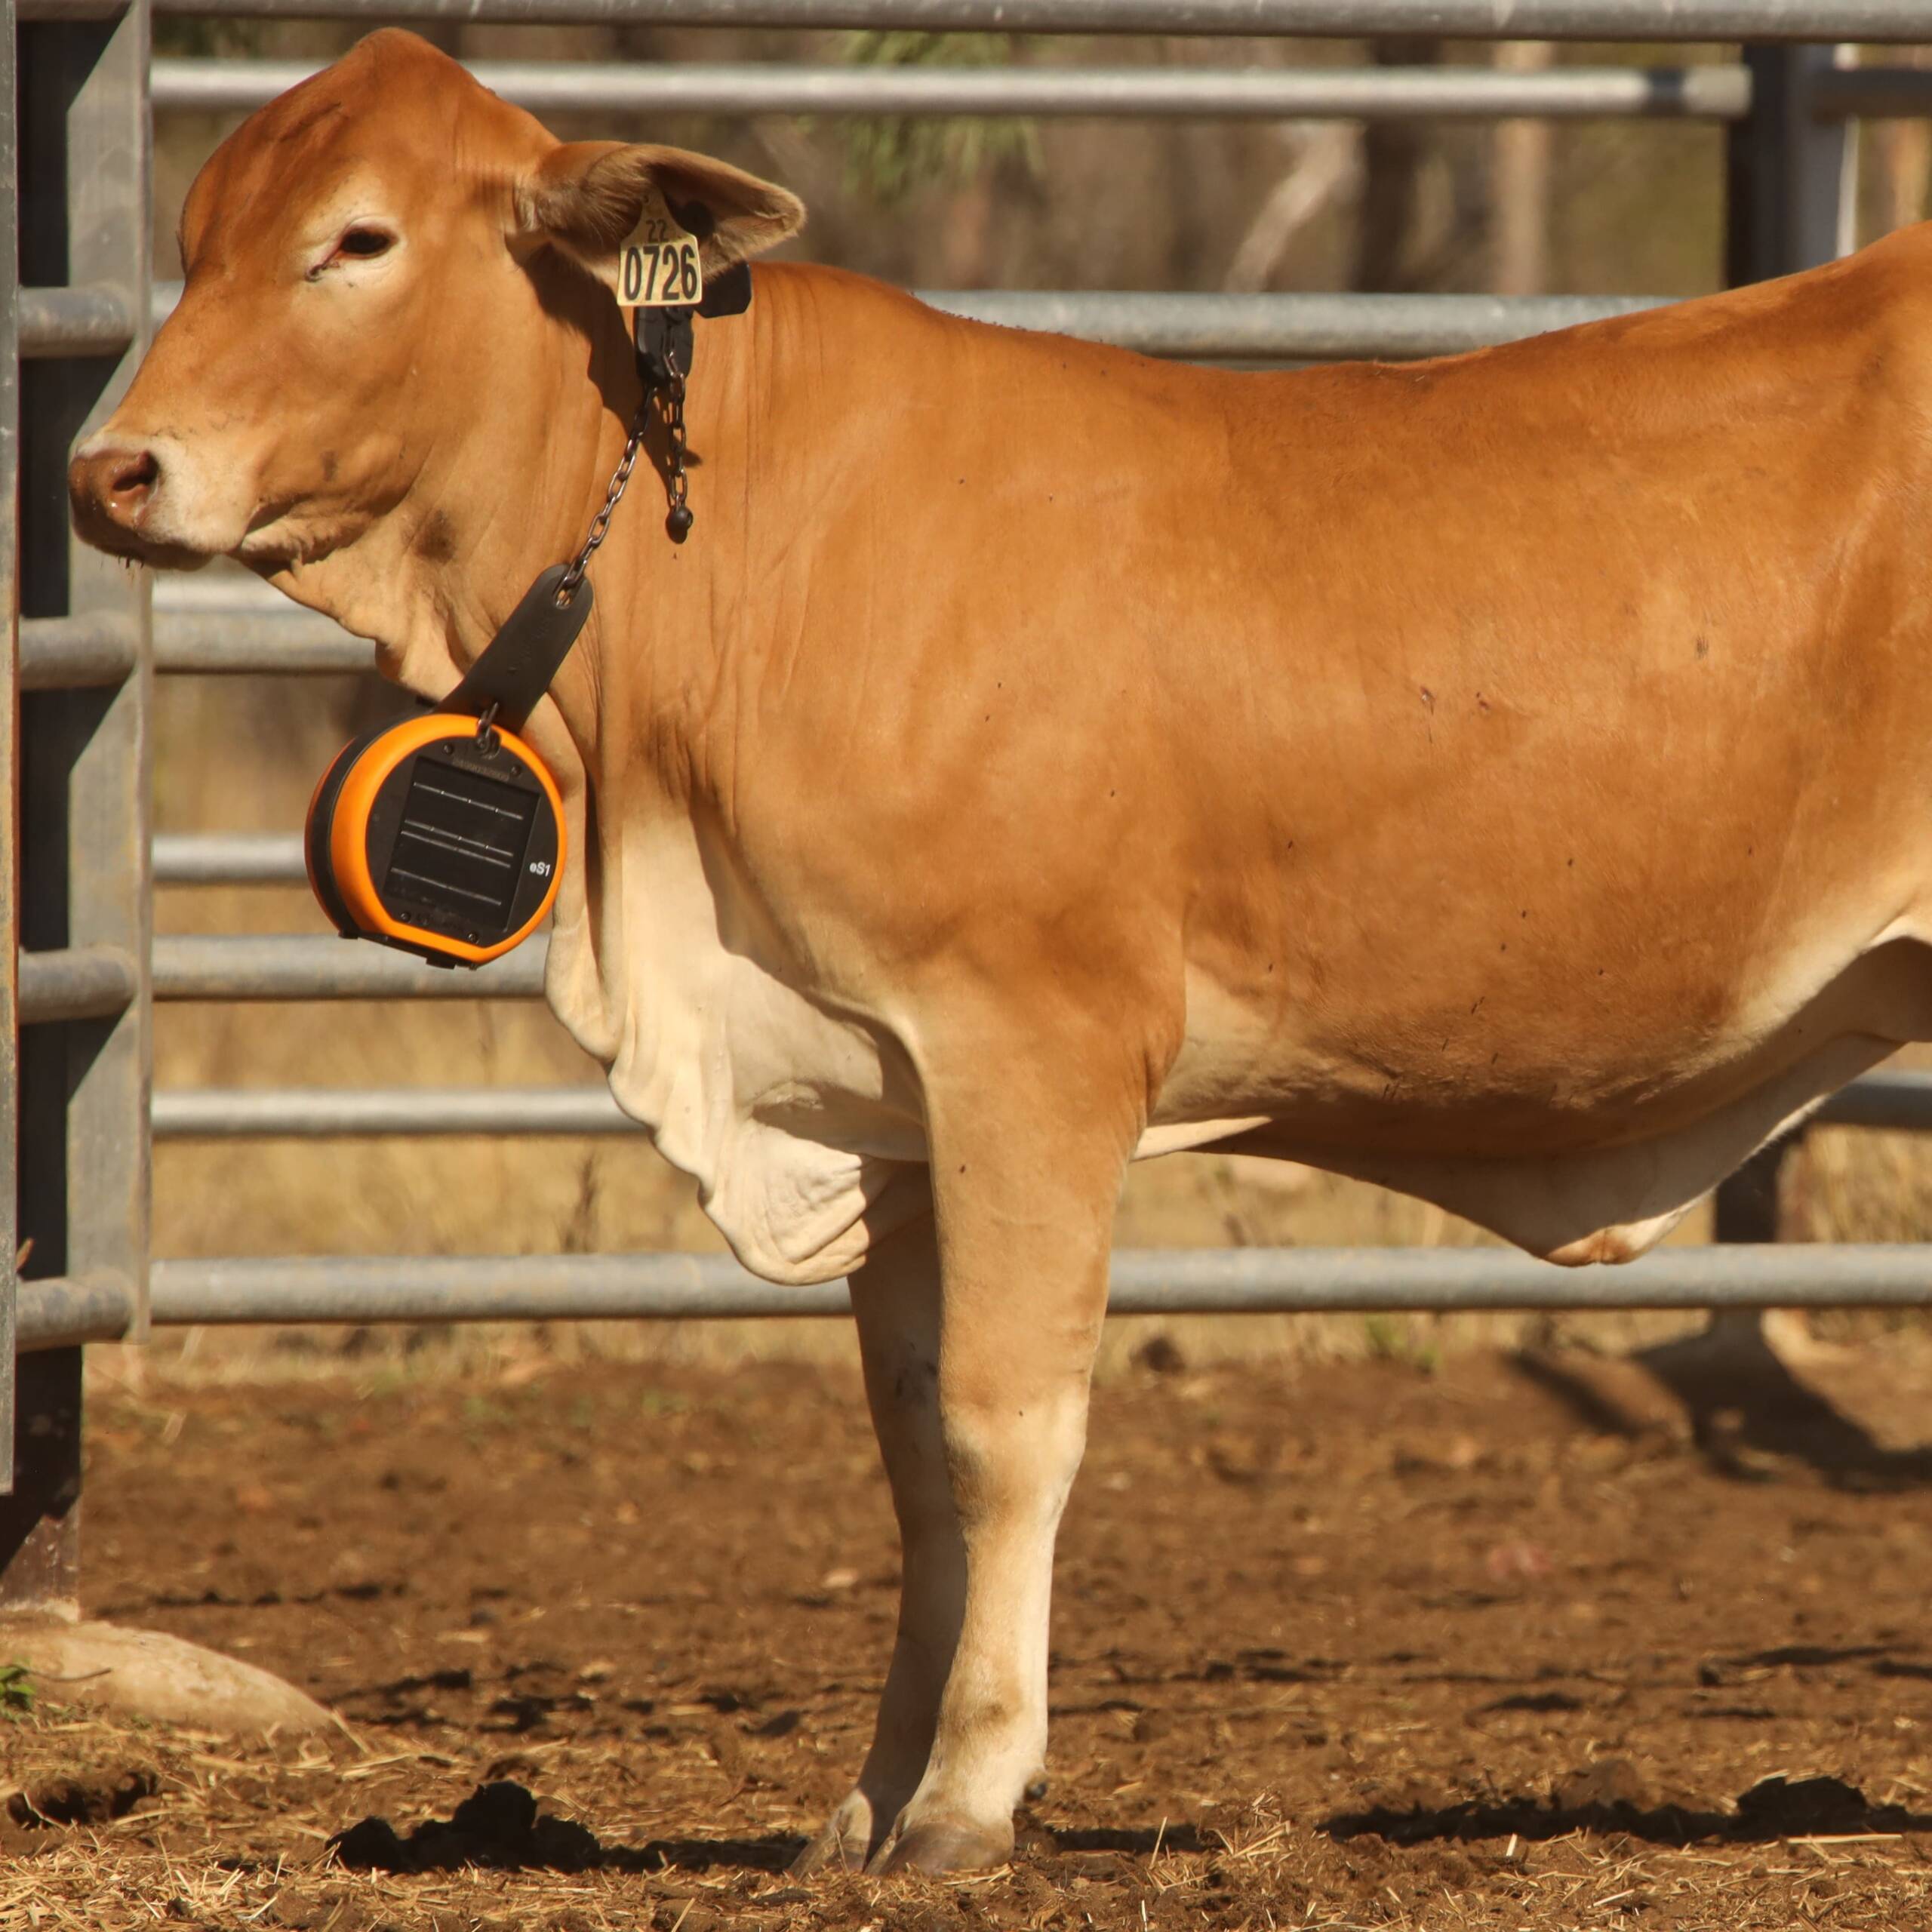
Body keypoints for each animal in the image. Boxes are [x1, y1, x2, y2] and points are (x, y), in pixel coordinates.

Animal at [69, 27, 1932, 1874]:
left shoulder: (1029, 1051)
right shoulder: (882, 1105)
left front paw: (969, 1793)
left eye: (358, 239)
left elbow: (1002, 1428)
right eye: (198, 237)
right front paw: (870, 1796)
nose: (112, 472)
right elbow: (911, 1451)